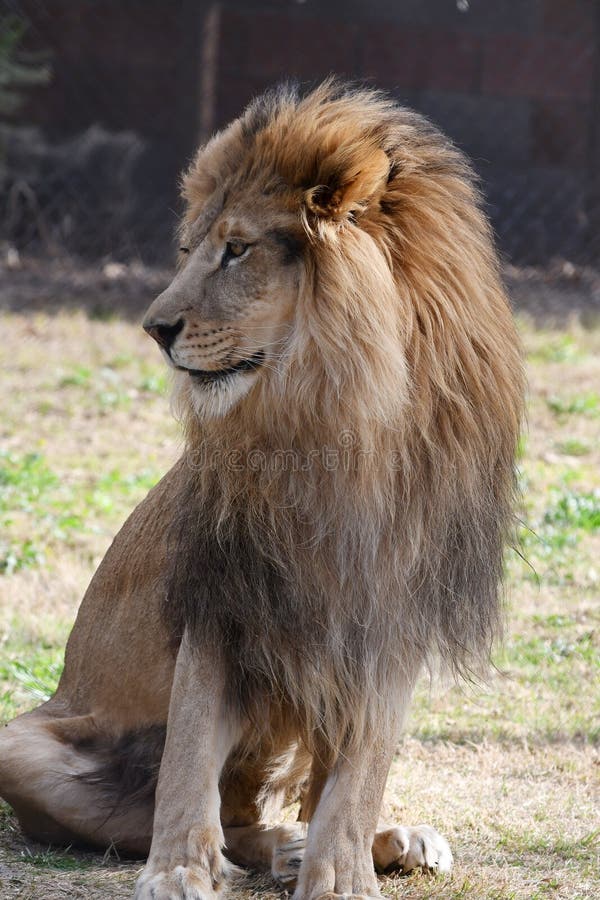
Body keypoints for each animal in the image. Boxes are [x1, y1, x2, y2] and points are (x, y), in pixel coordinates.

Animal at [0, 81, 524, 900]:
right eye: (188, 251)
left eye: (238, 249)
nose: (153, 328)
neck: (336, 419)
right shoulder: (223, 592)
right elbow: (189, 753)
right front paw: (177, 871)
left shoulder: (392, 611)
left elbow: (360, 766)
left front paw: (341, 873)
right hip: (22, 744)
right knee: (184, 812)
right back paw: (277, 848)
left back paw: (377, 840)